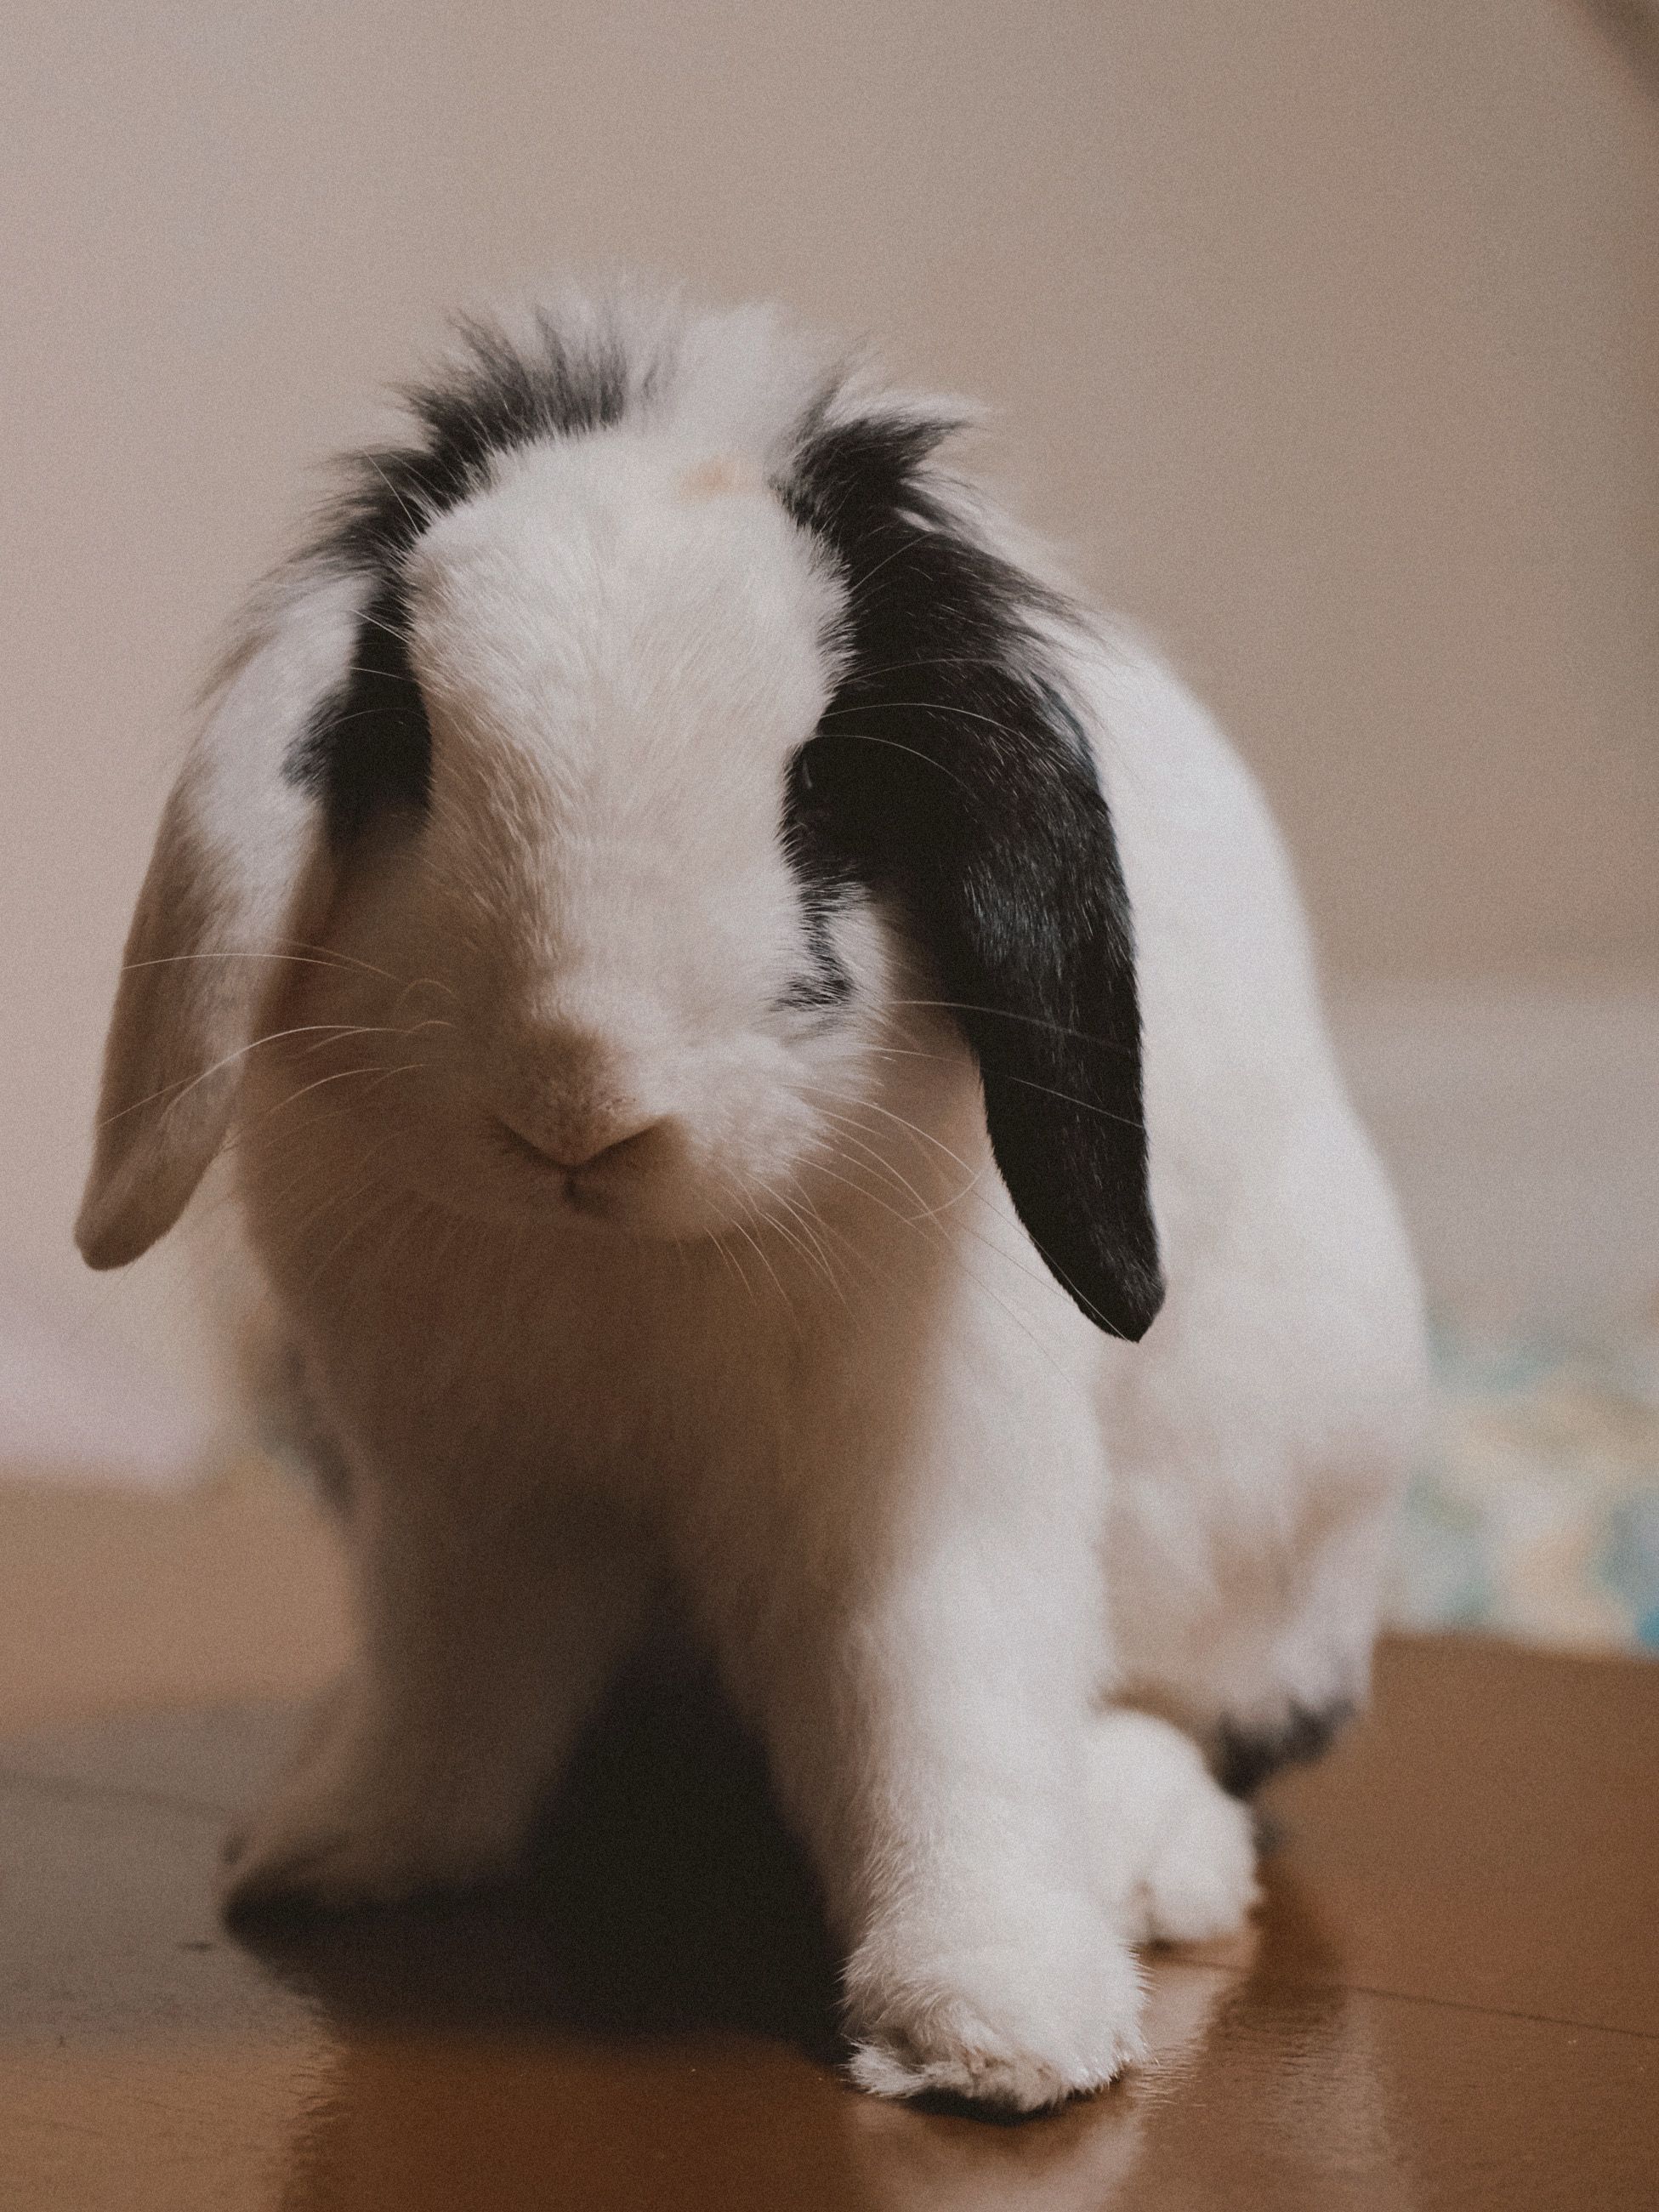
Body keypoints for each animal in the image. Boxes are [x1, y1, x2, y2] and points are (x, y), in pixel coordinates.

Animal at [76, 286, 1427, 2111]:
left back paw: (1147, 1859)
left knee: (1196, 1716)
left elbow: (942, 1706)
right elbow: (454, 1688)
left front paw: (995, 2031)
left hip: (1270, 1524)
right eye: (406, 748)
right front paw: (334, 1854)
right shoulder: (465, 1500)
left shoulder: (921, 1488)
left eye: (824, 794)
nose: (576, 1106)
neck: (620, 1264)